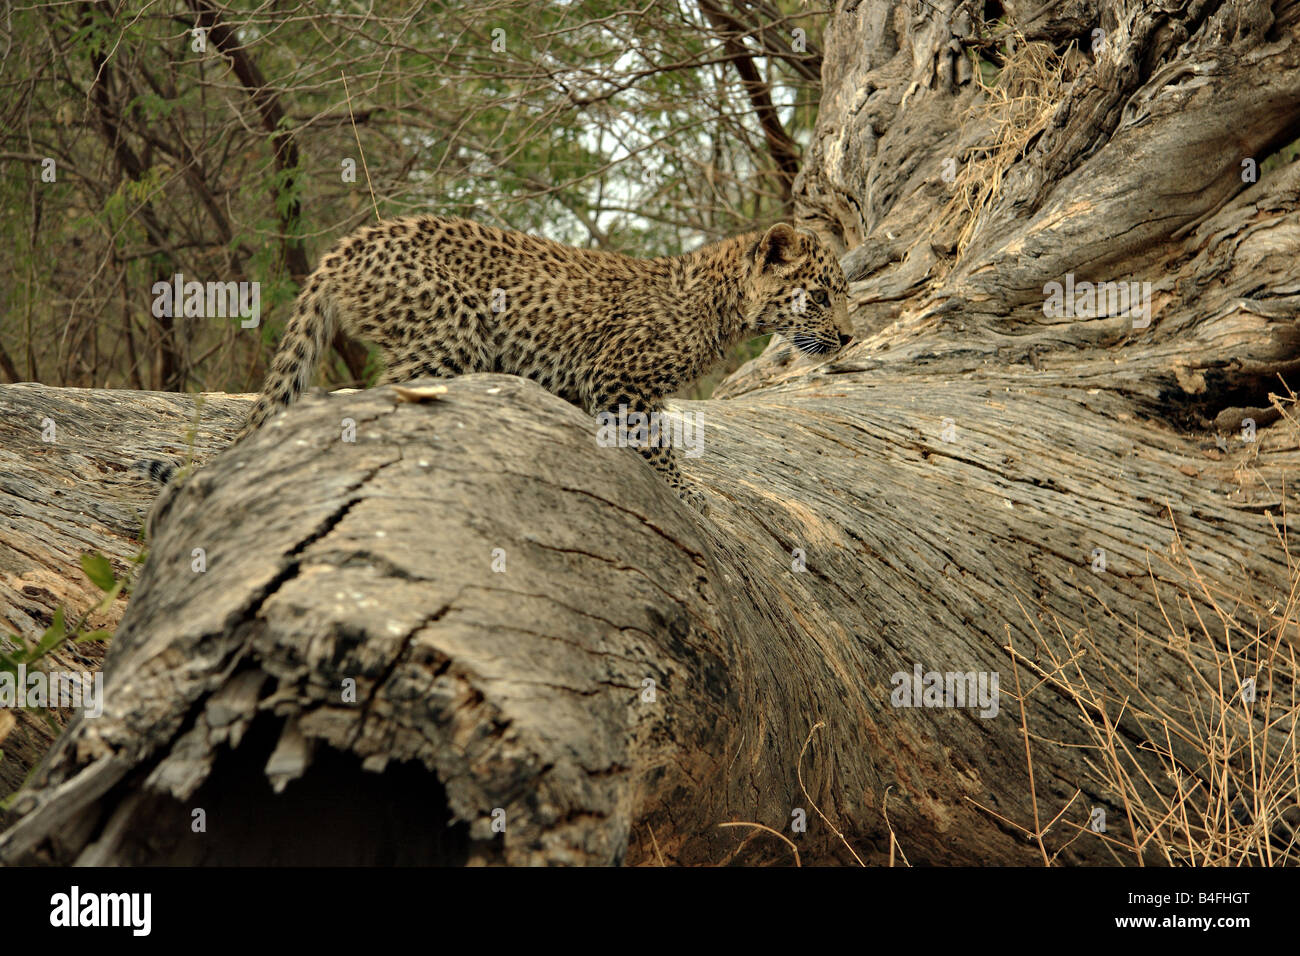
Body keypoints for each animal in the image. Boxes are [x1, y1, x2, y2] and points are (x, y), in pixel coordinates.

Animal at [148, 216, 853, 515]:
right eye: (819, 297)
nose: (847, 337)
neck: (726, 306)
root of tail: (342, 249)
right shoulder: (620, 380)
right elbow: (658, 448)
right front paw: (689, 496)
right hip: (450, 331)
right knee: (387, 393)